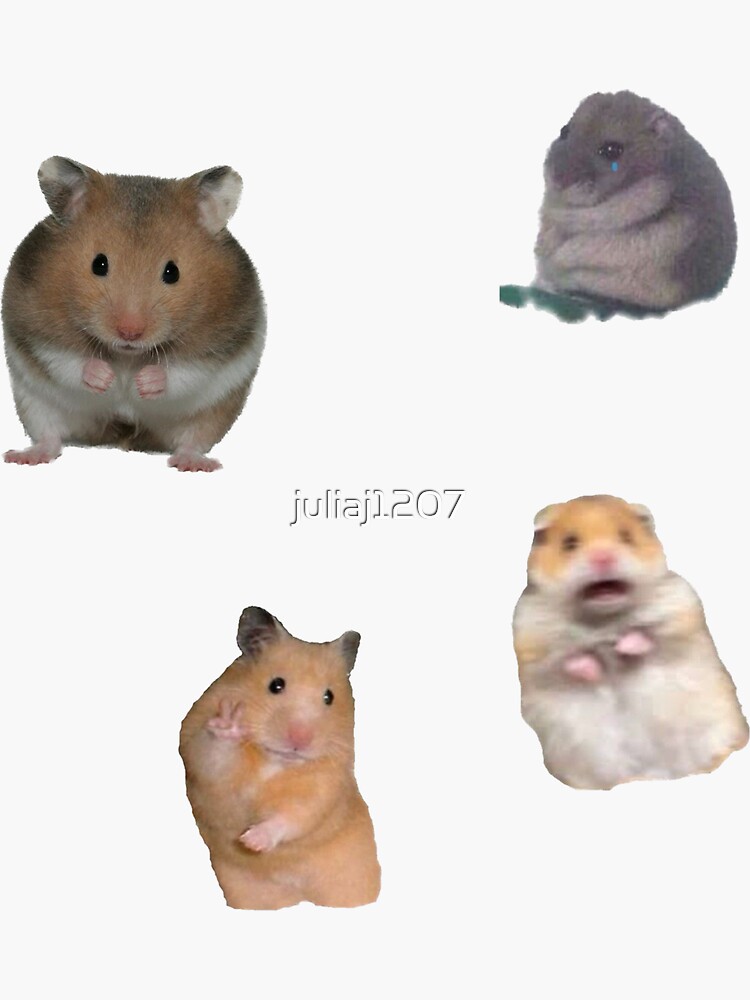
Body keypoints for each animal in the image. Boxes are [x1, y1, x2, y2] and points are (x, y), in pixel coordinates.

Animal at [2, 157, 265, 471]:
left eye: (172, 272)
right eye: (99, 264)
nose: (130, 333)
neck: (127, 356)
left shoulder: (222, 340)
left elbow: (182, 371)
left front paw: (142, 383)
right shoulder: (36, 328)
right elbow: (69, 361)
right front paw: (107, 379)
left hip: (213, 414)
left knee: (193, 439)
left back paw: (193, 463)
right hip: (33, 403)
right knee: (49, 437)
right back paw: (24, 457)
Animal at [179, 607, 381, 909]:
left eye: (329, 697)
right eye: (276, 685)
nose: (299, 740)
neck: (276, 761)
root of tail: (300, 896)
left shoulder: (323, 787)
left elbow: (293, 816)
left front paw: (252, 841)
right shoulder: (199, 754)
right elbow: (215, 754)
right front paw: (230, 722)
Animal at [513, 496, 748, 790]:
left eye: (626, 537)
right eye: (569, 543)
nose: (603, 558)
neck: (604, 617)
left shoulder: (681, 610)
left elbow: (648, 635)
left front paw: (622, 648)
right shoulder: (531, 641)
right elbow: (570, 659)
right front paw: (596, 669)